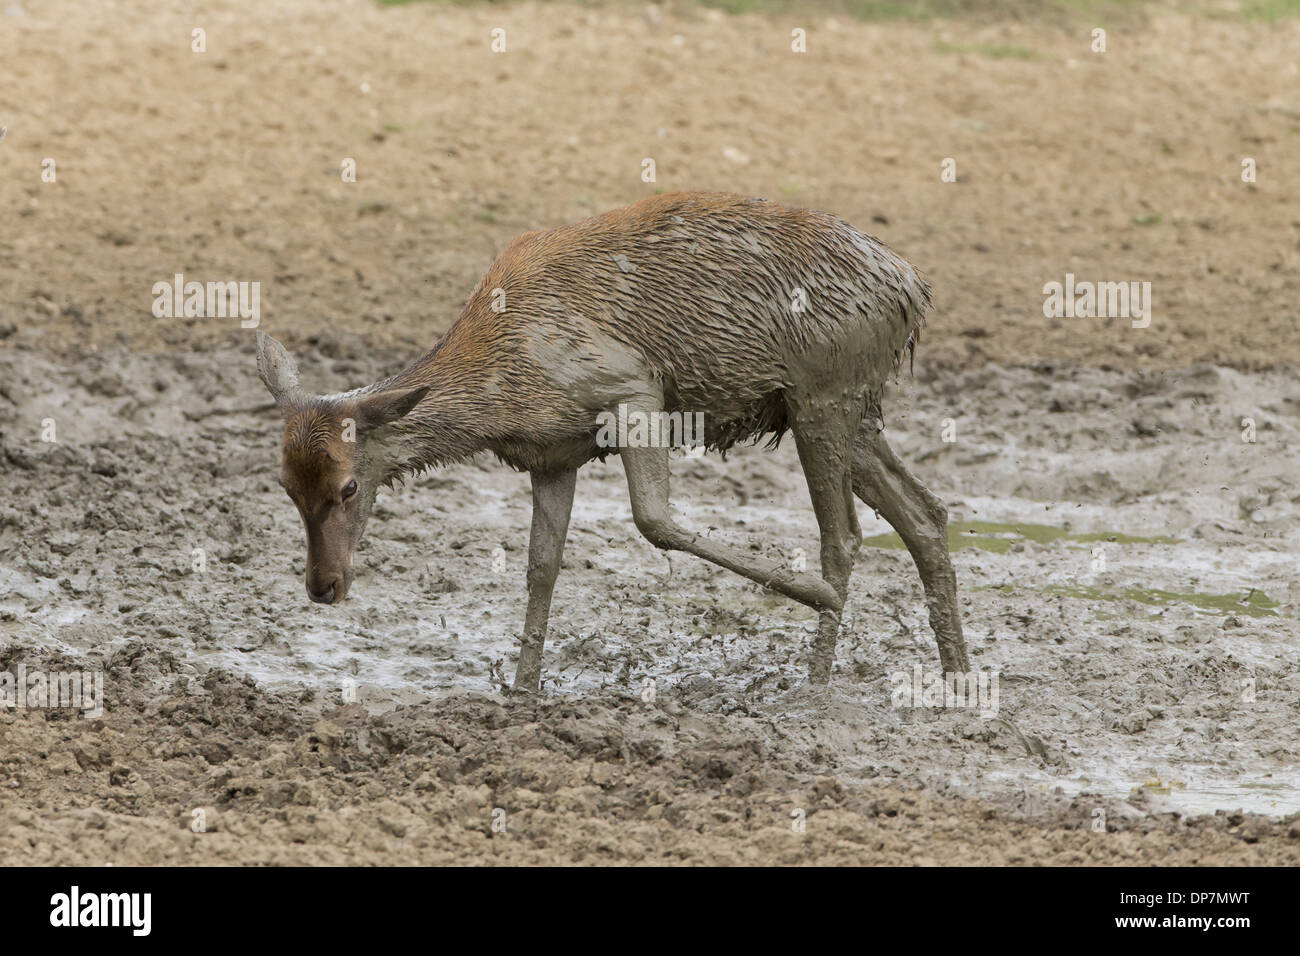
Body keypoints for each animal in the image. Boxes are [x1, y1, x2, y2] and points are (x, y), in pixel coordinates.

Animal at [256, 191, 970, 692]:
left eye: (350, 485)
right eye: (286, 485)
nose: (323, 586)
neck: (502, 386)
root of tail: (916, 288)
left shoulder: (634, 390)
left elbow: (654, 520)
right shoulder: (551, 455)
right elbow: (541, 566)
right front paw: (522, 692)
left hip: (823, 394)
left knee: (842, 535)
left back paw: (816, 680)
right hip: (849, 410)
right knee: (926, 514)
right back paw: (958, 681)